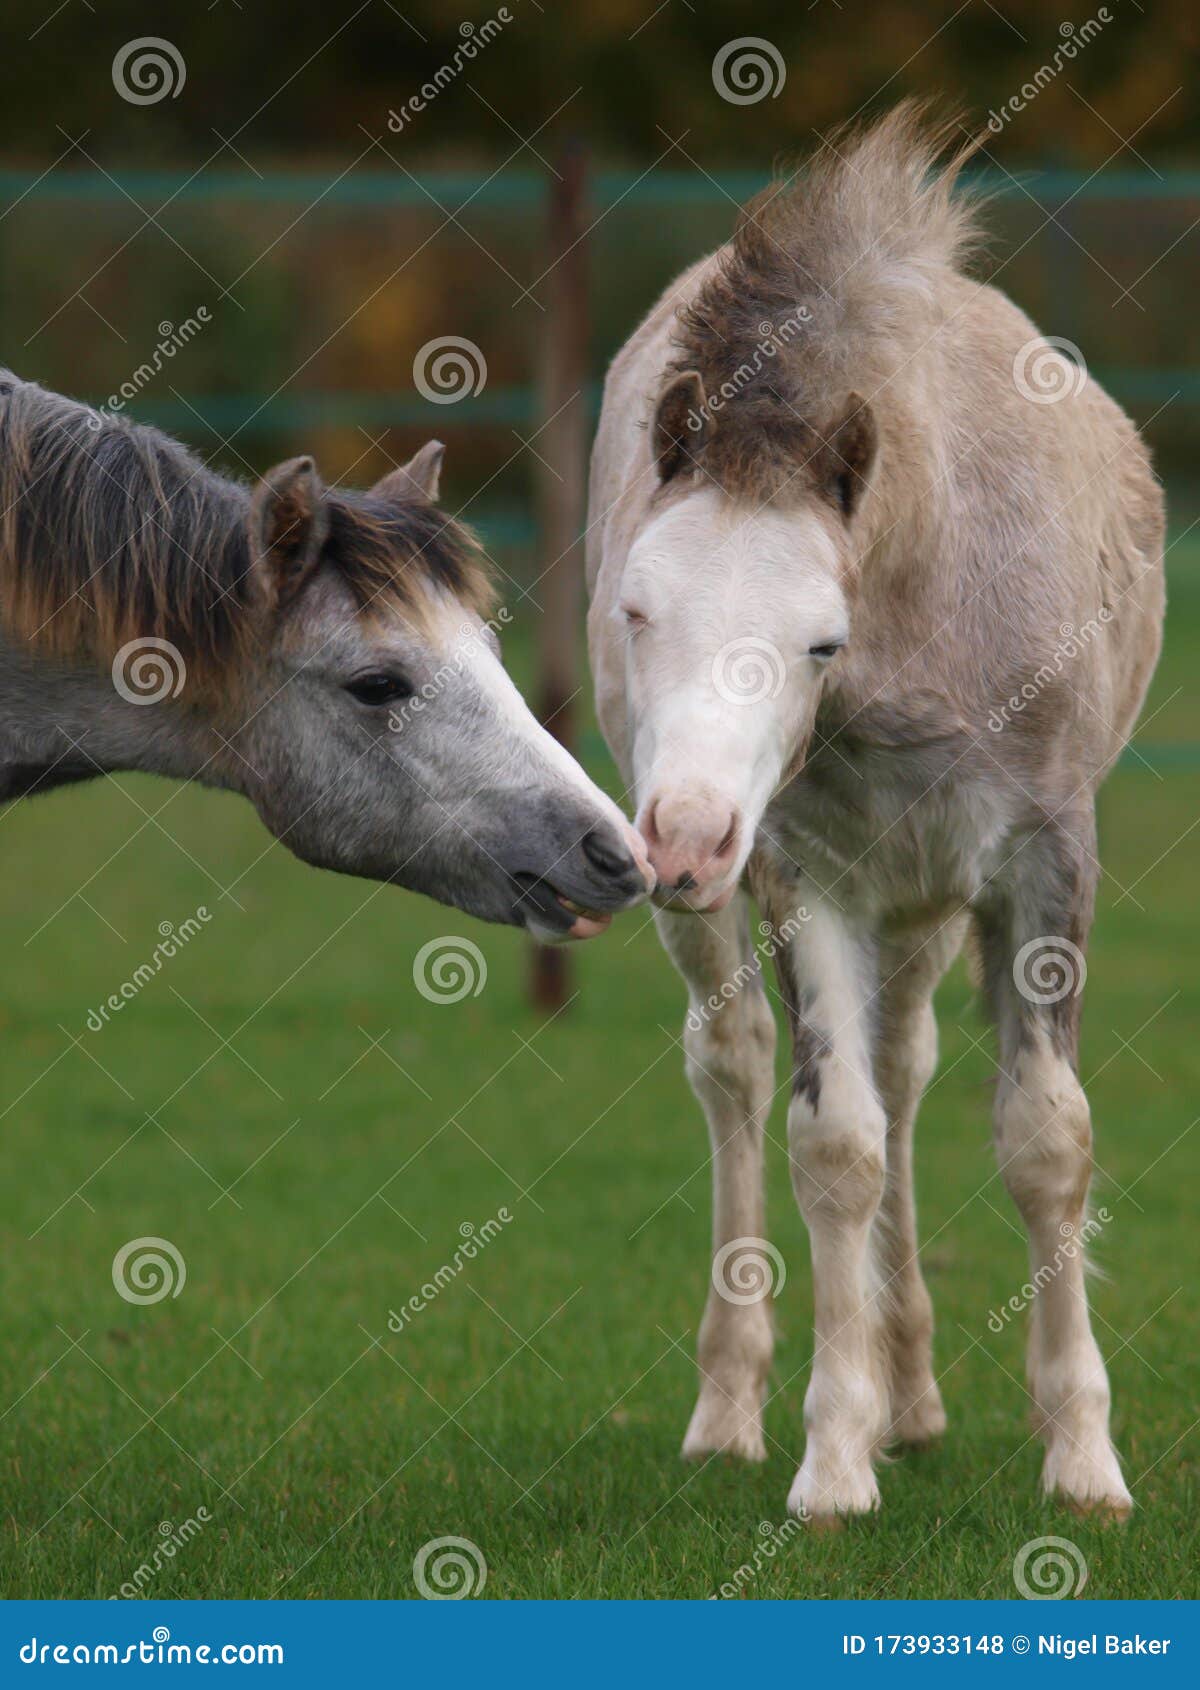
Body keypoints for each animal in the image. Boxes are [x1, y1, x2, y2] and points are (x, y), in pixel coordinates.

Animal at [586, 105, 1164, 1523]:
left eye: (818, 640)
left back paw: (916, 1394)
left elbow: (1045, 1138)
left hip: (926, 895)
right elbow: (831, 1142)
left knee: (908, 1069)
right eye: (635, 607)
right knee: (734, 1061)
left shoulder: (1042, 857)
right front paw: (831, 1461)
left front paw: (1084, 1459)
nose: (684, 840)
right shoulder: (809, 873)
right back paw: (735, 1407)